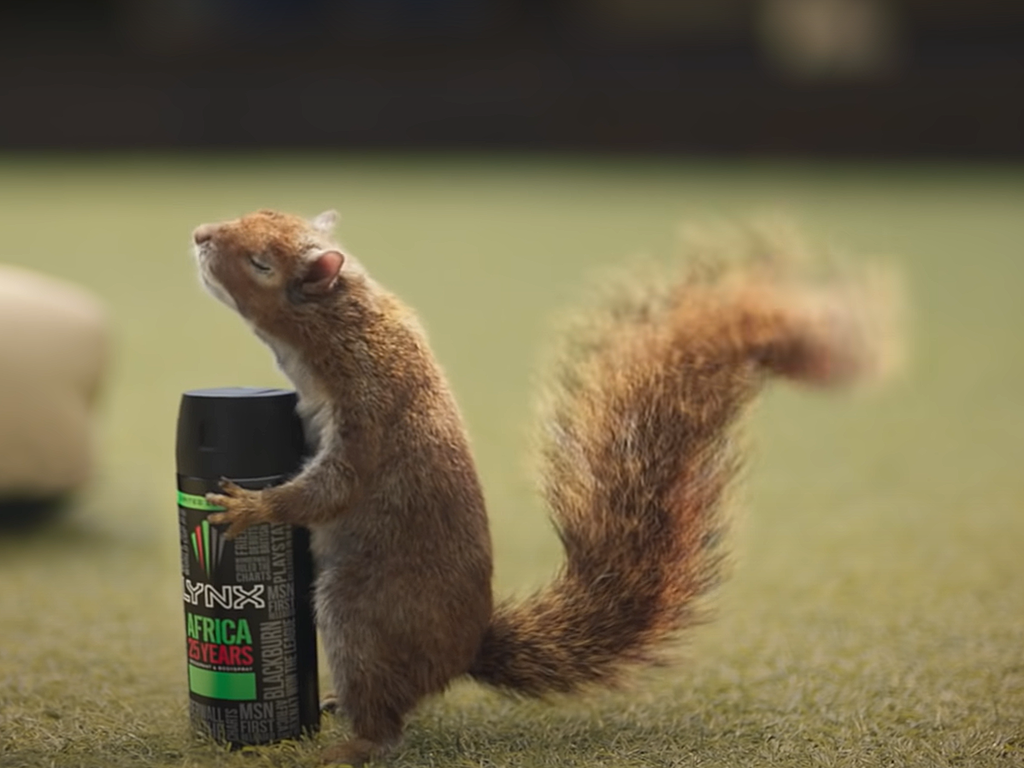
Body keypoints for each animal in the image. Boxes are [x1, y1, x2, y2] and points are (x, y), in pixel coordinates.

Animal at [192, 208, 892, 766]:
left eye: (261, 263)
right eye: (257, 212)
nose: (200, 234)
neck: (346, 323)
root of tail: (463, 649)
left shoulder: (369, 421)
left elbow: (328, 490)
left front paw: (251, 506)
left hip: (359, 614)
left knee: (387, 723)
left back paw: (345, 745)